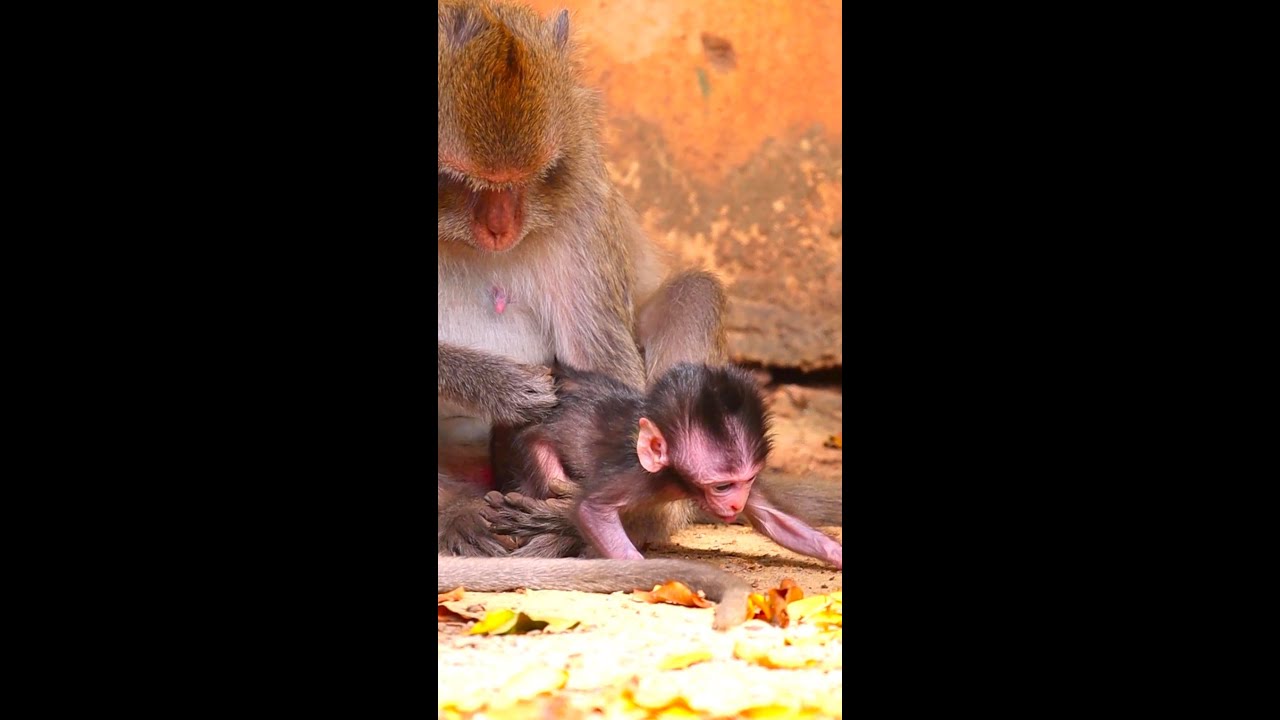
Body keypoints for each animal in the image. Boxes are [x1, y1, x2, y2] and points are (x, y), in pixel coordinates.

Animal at [437, 0, 727, 554]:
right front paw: (497, 384)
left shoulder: (581, 205)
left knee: (695, 293)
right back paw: (456, 516)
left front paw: (570, 517)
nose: (501, 227)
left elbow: (603, 370)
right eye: (458, 181)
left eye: (537, 176)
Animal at [493, 363, 844, 570]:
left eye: (747, 480)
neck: (675, 478)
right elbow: (591, 510)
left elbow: (776, 520)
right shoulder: (637, 476)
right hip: (530, 440)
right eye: (722, 486)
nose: (735, 503)